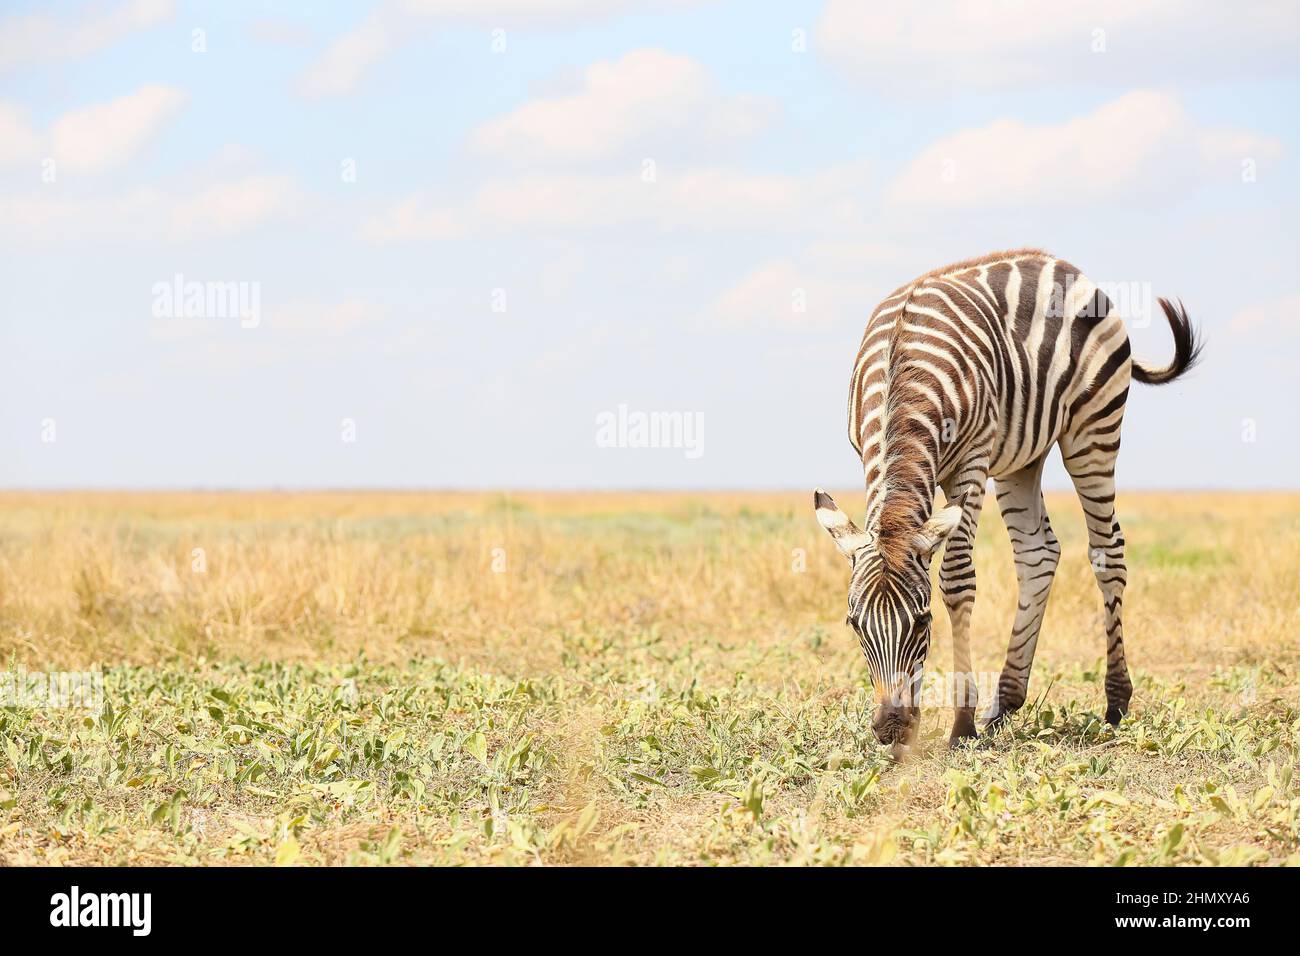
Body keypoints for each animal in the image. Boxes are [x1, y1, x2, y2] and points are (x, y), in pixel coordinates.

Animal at [813, 248, 1201, 755]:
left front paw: (962, 722)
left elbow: (957, 579)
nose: (891, 727)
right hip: (1023, 457)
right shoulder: (865, 451)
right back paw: (1005, 704)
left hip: (1093, 430)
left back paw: (1115, 704)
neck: (903, 379)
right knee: (1038, 555)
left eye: (922, 622)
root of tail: (1066, 266)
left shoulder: (972, 461)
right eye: (854, 624)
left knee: (1108, 552)